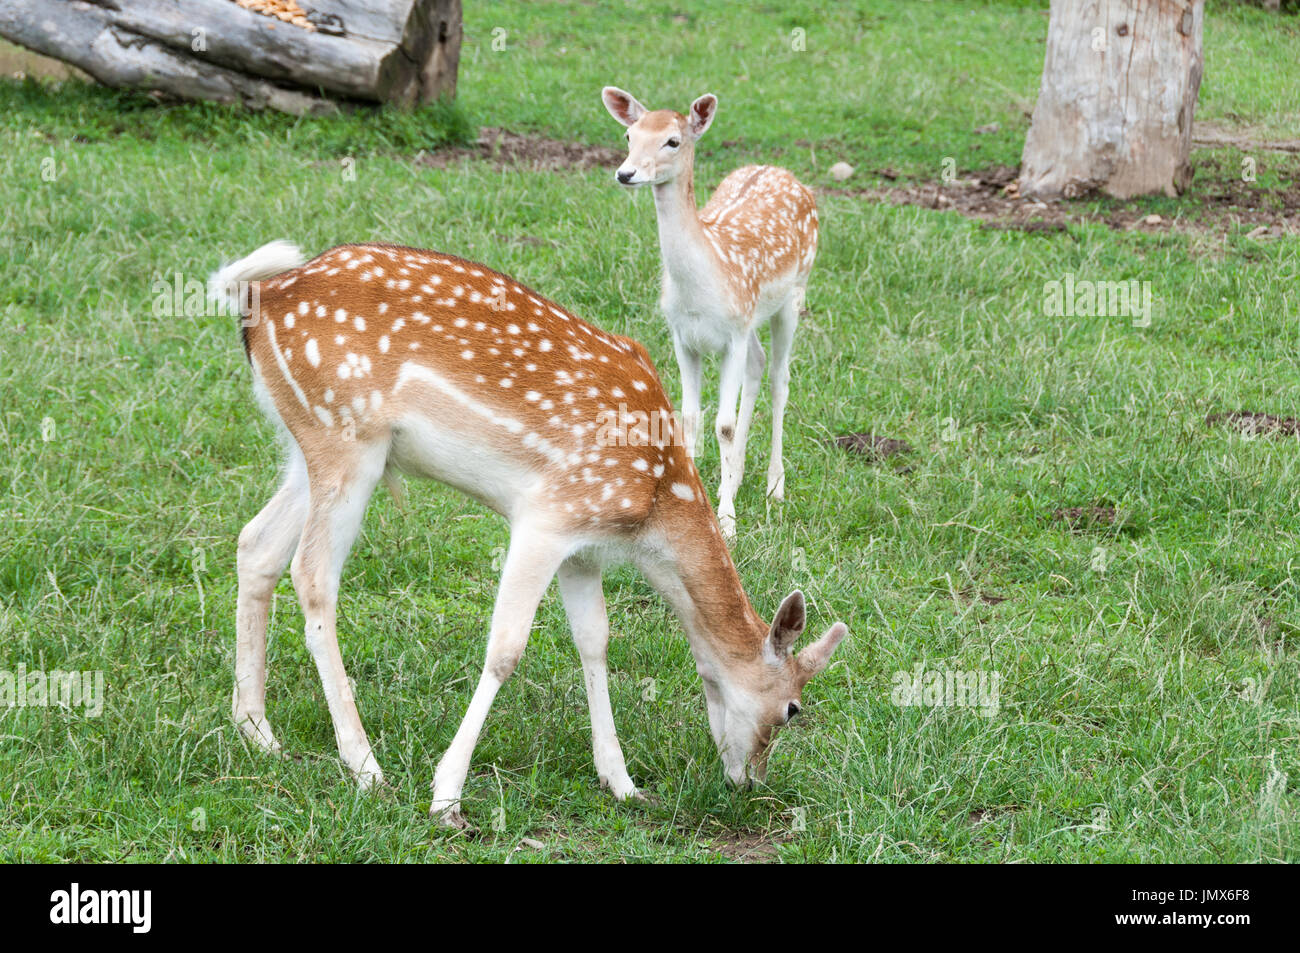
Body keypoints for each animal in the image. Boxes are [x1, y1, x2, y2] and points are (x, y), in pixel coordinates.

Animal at [210, 239, 847, 828]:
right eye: (791, 709)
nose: (750, 781)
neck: (651, 509)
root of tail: (259, 295)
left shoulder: (584, 550)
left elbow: (594, 640)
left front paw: (623, 784)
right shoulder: (547, 516)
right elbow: (506, 648)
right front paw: (447, 796)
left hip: (307, 445)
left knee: (255, 545)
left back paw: (257, 731)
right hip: (346, 436)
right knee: (312, 574)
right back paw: (365, 765)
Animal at [601, 87, 819, 541]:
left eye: (672, 141)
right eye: (630, 135)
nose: (626, 174)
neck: (701, 286)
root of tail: (786, 173)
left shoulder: (731, 335)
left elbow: (724, 423)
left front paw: (728, 522)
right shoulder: (684, 336)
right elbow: (689, 418)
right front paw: (704, 496)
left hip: (792, 295)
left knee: (779, 377)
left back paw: (774, 486)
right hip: (751, 319)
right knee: (758, 365)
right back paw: (734, 477)